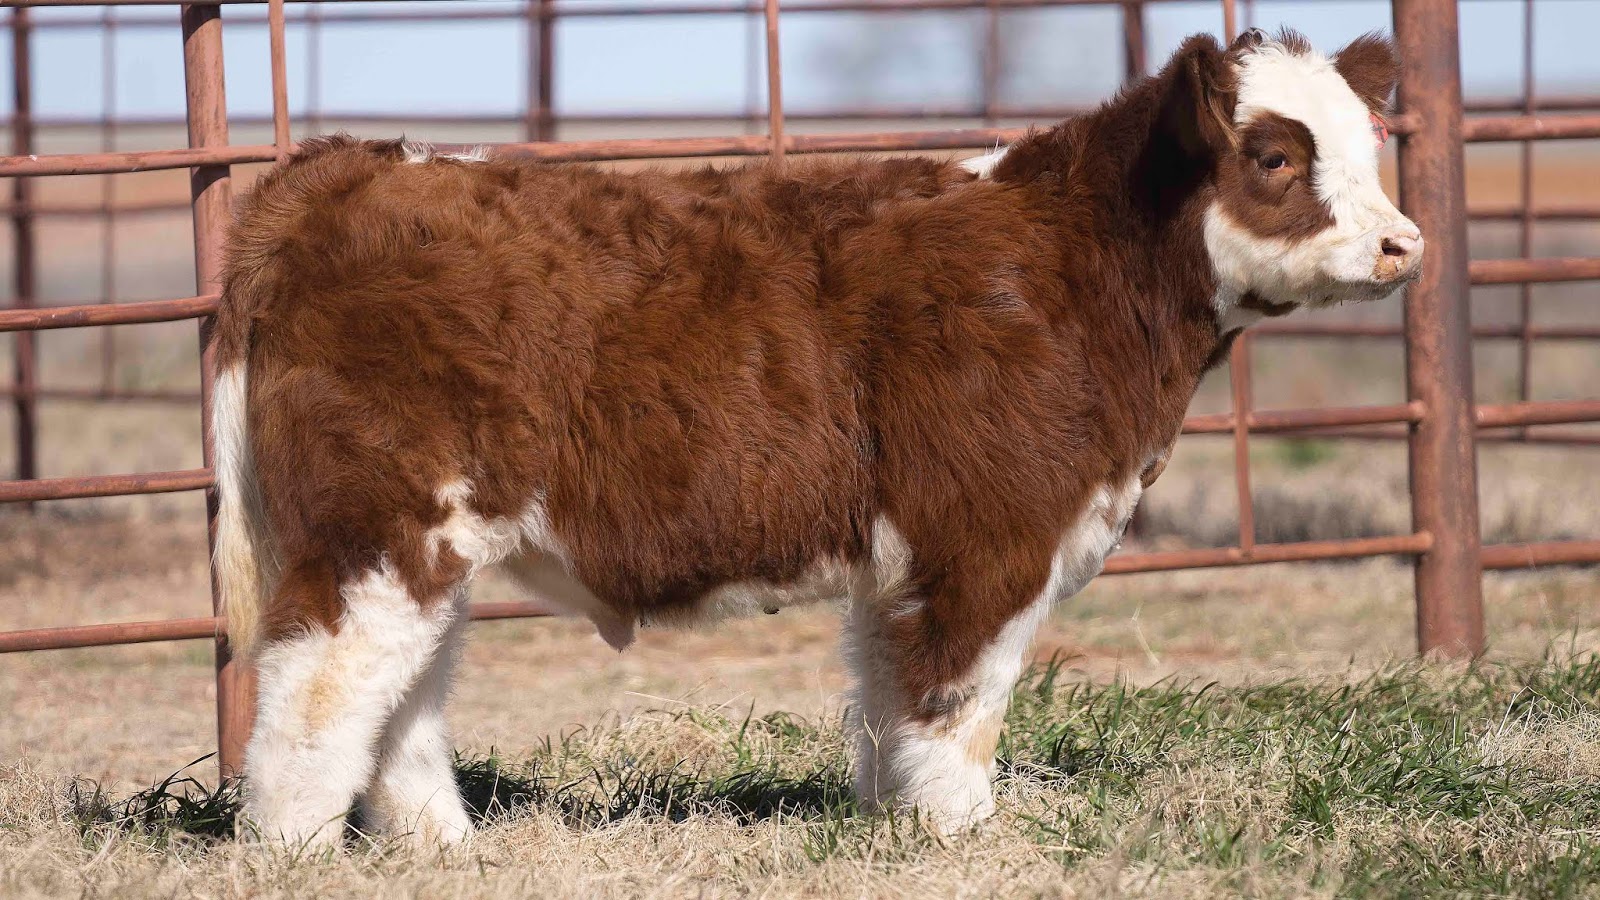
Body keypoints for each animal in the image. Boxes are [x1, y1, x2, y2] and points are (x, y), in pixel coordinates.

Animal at [212, 28, 1421, 846]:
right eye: (1272, 156)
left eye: (1368, 146)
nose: (1403, 242)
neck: (1071, 265)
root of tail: (351, 167)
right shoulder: (988, 538)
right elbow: (958, 701)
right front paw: (961, 838)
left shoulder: (912, 561)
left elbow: (891, 701)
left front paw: (897, 830)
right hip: (374, 530)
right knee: (316, 691)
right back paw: (296, 851)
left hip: (428, 545)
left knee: (401, 698)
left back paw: (444, 847)